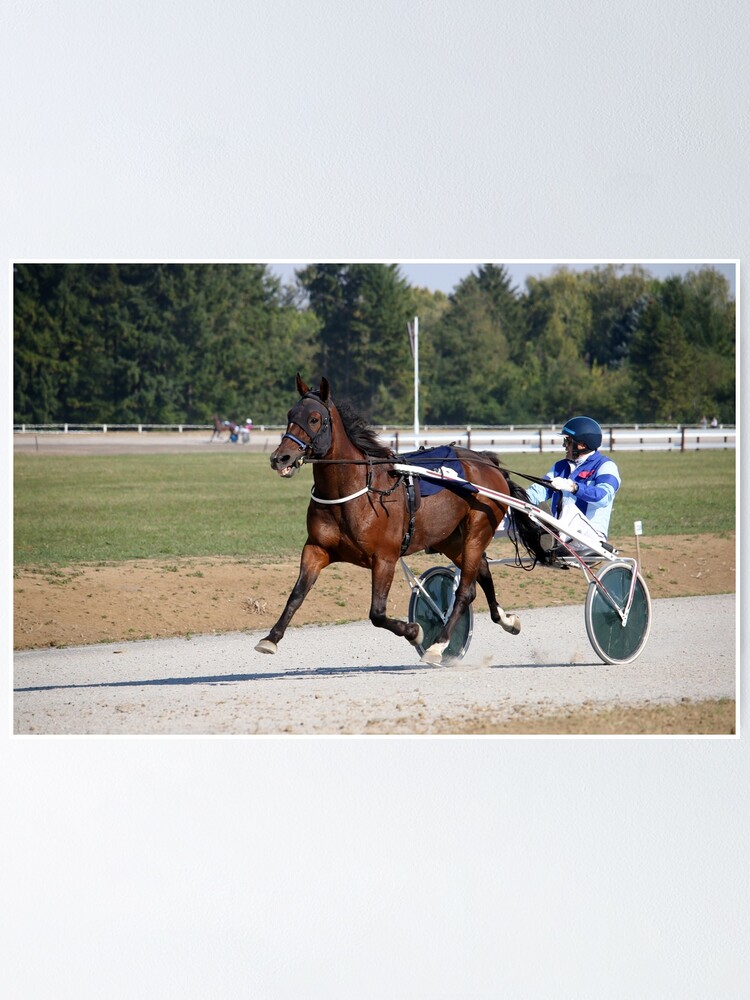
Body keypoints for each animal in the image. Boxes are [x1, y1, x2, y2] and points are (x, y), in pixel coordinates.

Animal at [255, 374, 548, 663]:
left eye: (315, 418)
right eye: (290, 414)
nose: (280, 457)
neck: (354, 491)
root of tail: (487, 461)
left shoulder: (385, 557)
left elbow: (377, 613)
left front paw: (416, 633)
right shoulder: (316, 548)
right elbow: (296, 594)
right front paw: (270, 638)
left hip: (477, 530)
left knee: (466, 590)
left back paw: (439, 644)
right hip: (450, 539)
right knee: (483, 573)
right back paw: (507, 620)